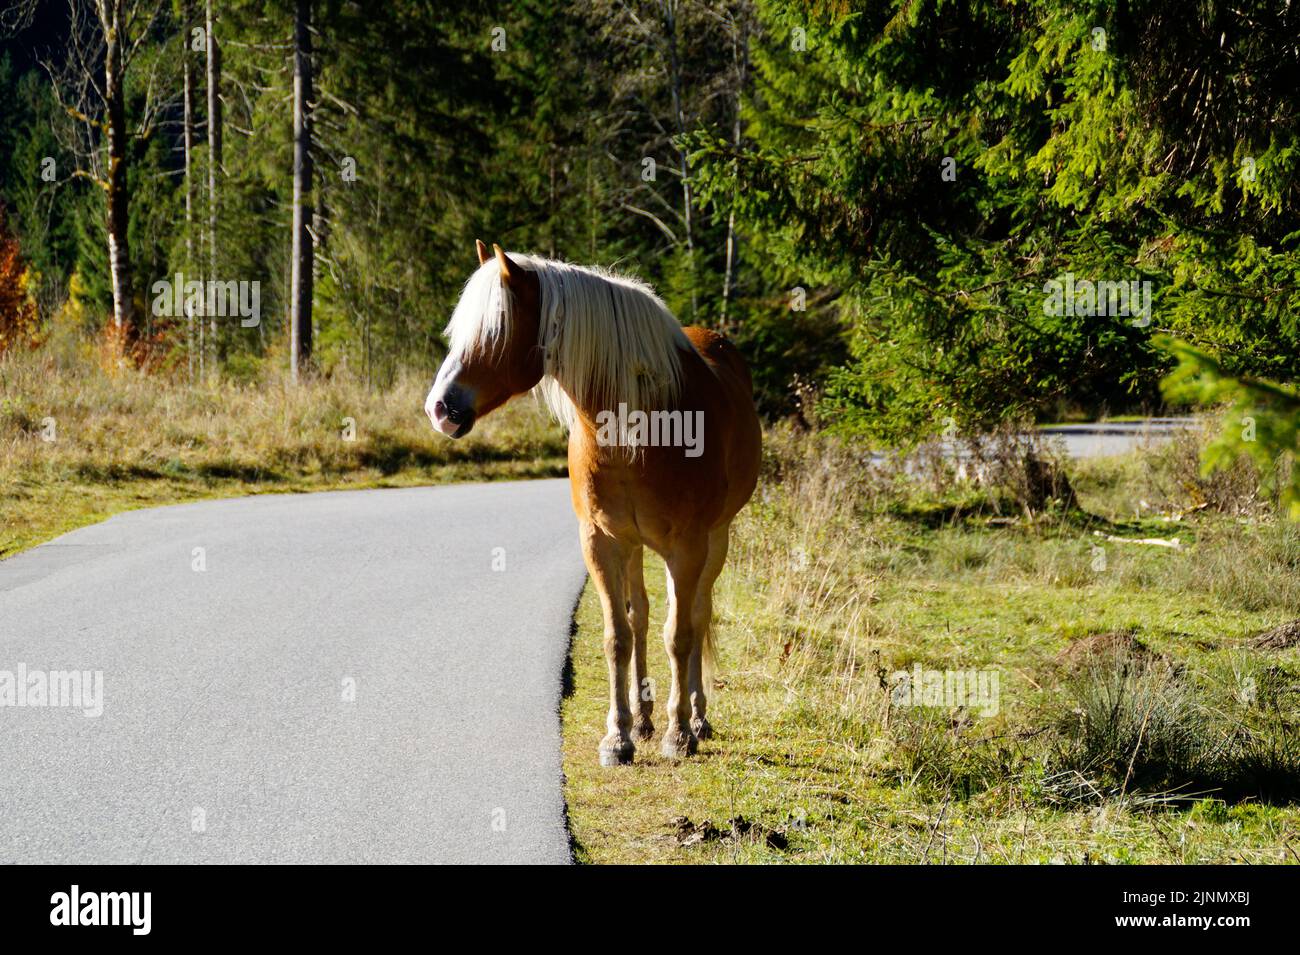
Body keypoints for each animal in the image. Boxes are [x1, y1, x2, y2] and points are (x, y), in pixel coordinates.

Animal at [425, 241, 761, 765]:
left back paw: (696, 719)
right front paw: (619, 736)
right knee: (641, 617)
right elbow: (617, 636)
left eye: (495, 330)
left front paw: (678, 733)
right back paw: (644, 718)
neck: (640, 426)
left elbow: (680, 633)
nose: (440, 409)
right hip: (635, 544)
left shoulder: (687, 546)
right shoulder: (601, 541)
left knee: (696, 615)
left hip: (715, 539)